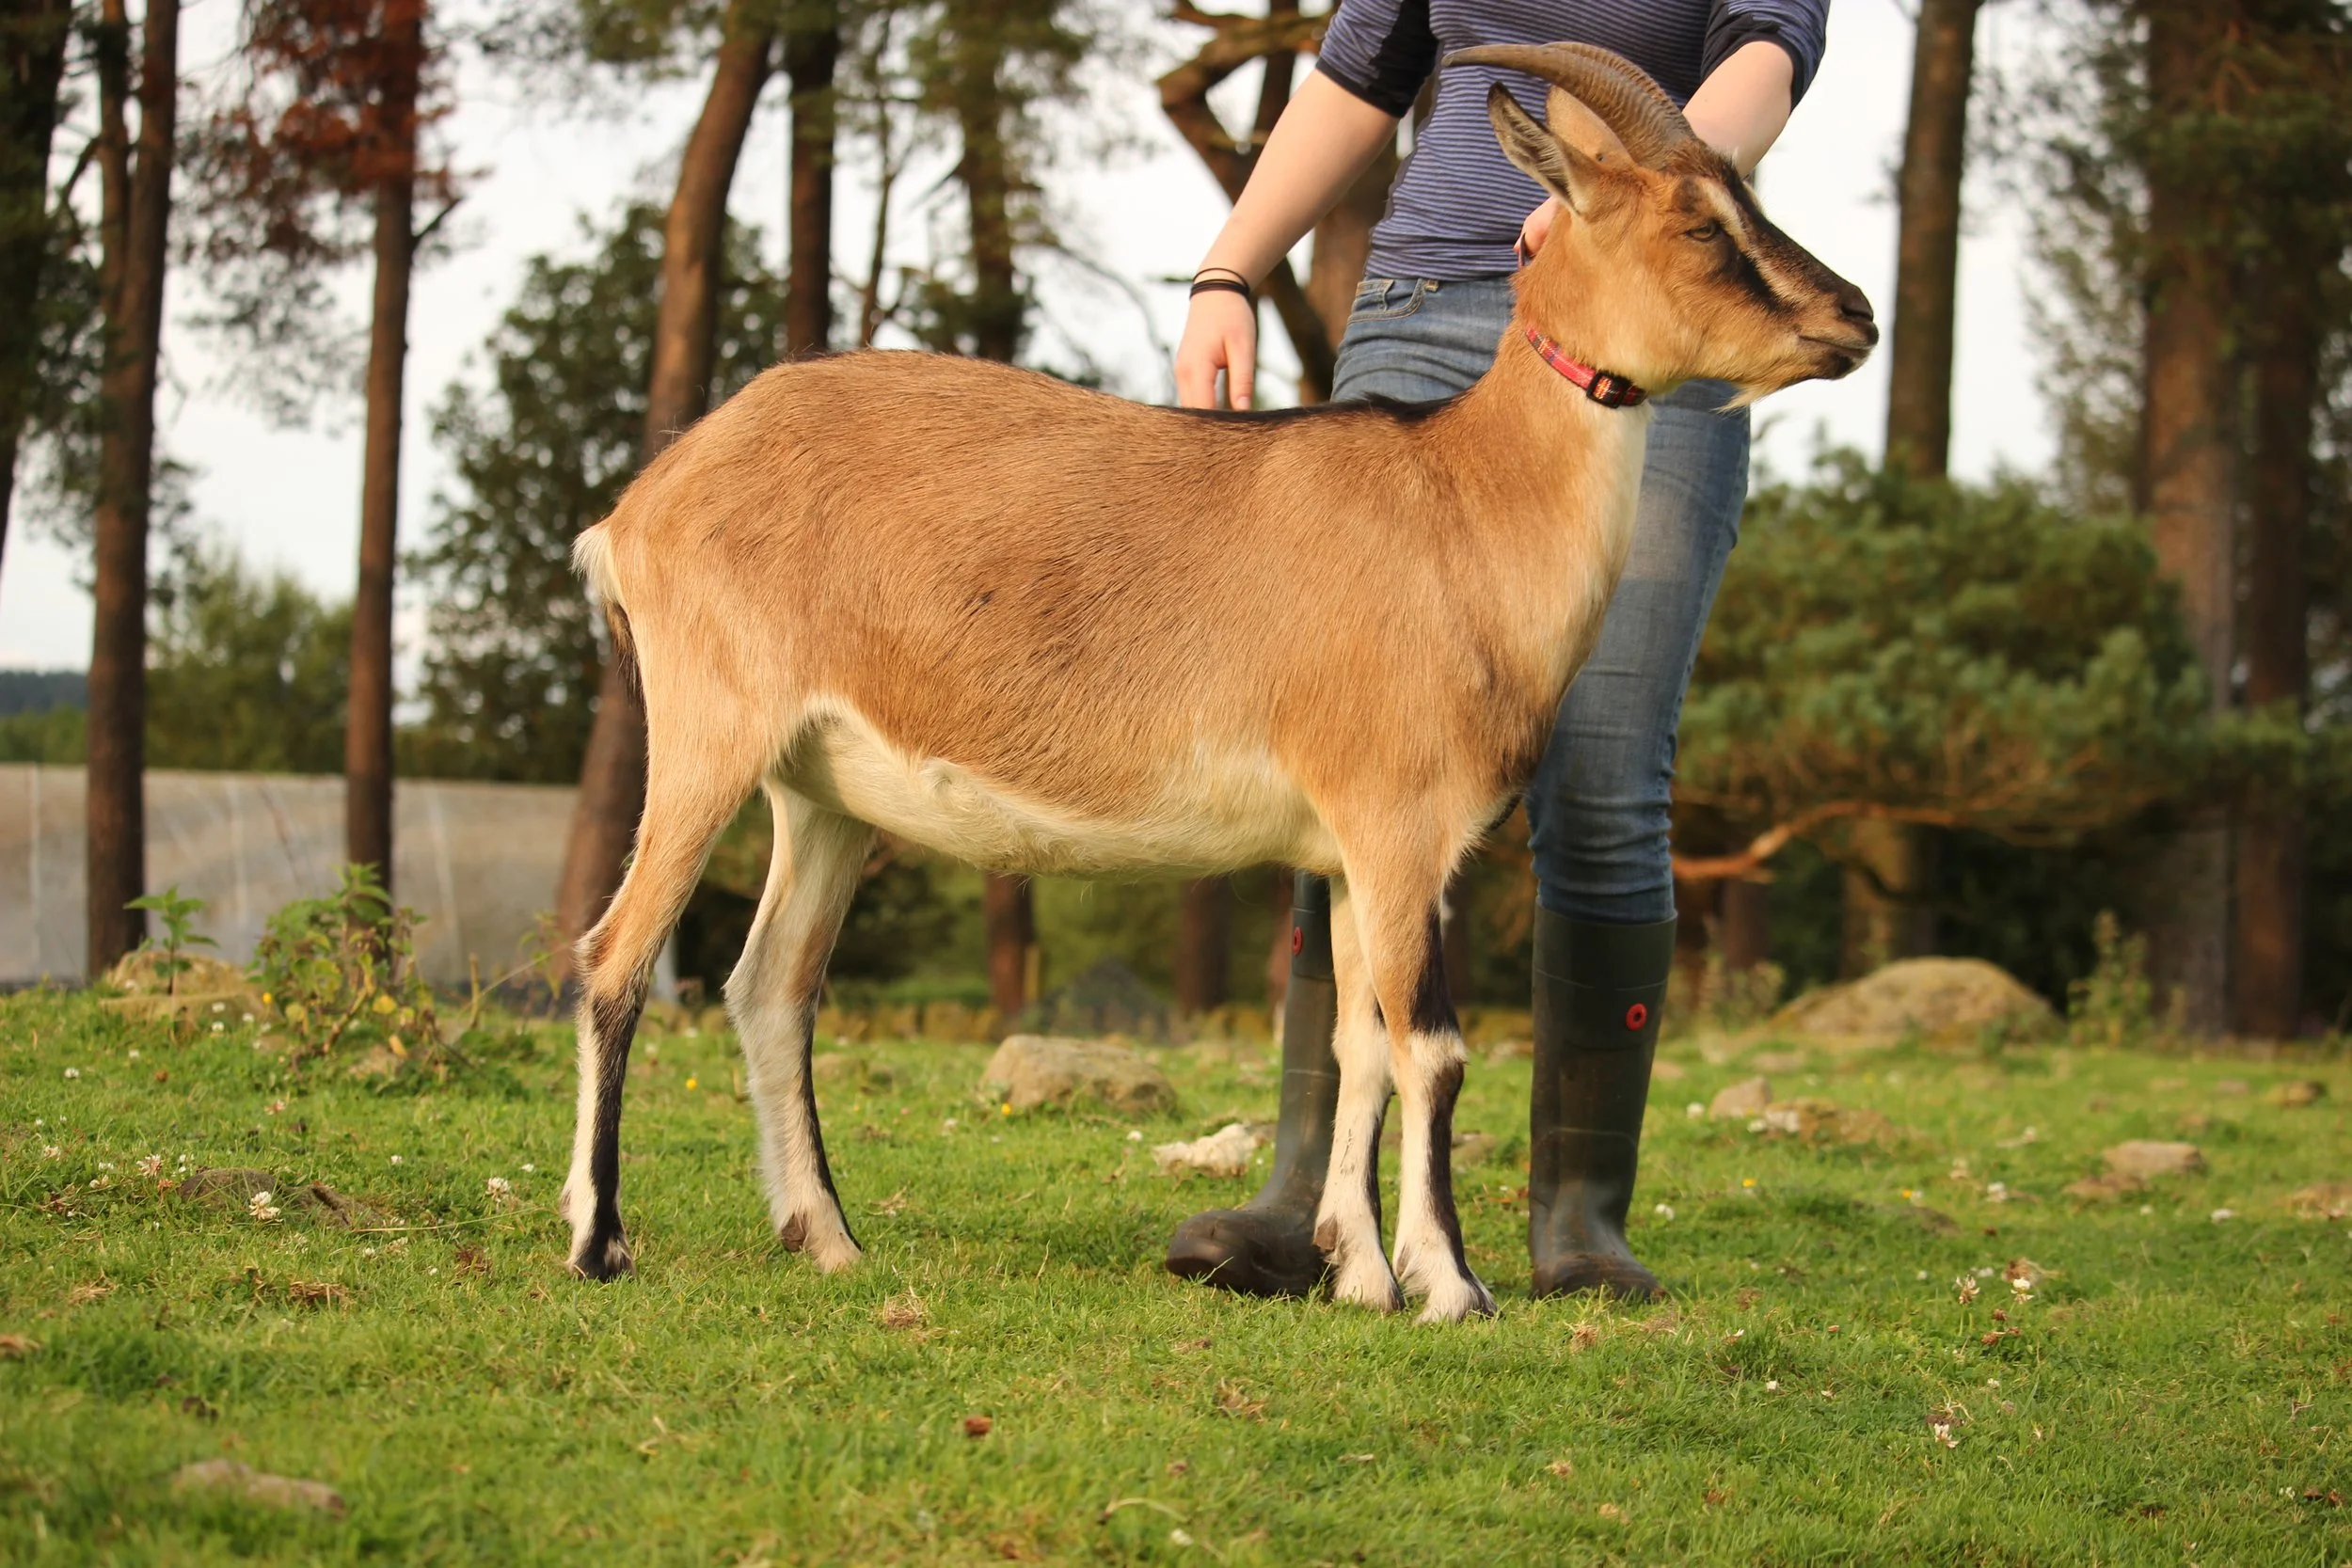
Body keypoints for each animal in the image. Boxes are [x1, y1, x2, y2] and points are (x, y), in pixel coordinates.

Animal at [558, 43, 1875, 1322]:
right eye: (1702, 225)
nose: (1854, 314)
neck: (1462, 504)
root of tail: (643, 503)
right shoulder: (1400, 829)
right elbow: (1432, 1046)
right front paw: (1450, 1286)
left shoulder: (1350, 852)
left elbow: (1356, 1040)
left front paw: (1359, 1271)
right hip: (710, 731)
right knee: (616, 954)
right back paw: (598, 1239)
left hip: (818, 790)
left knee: (771, 985)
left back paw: (828, 1239)